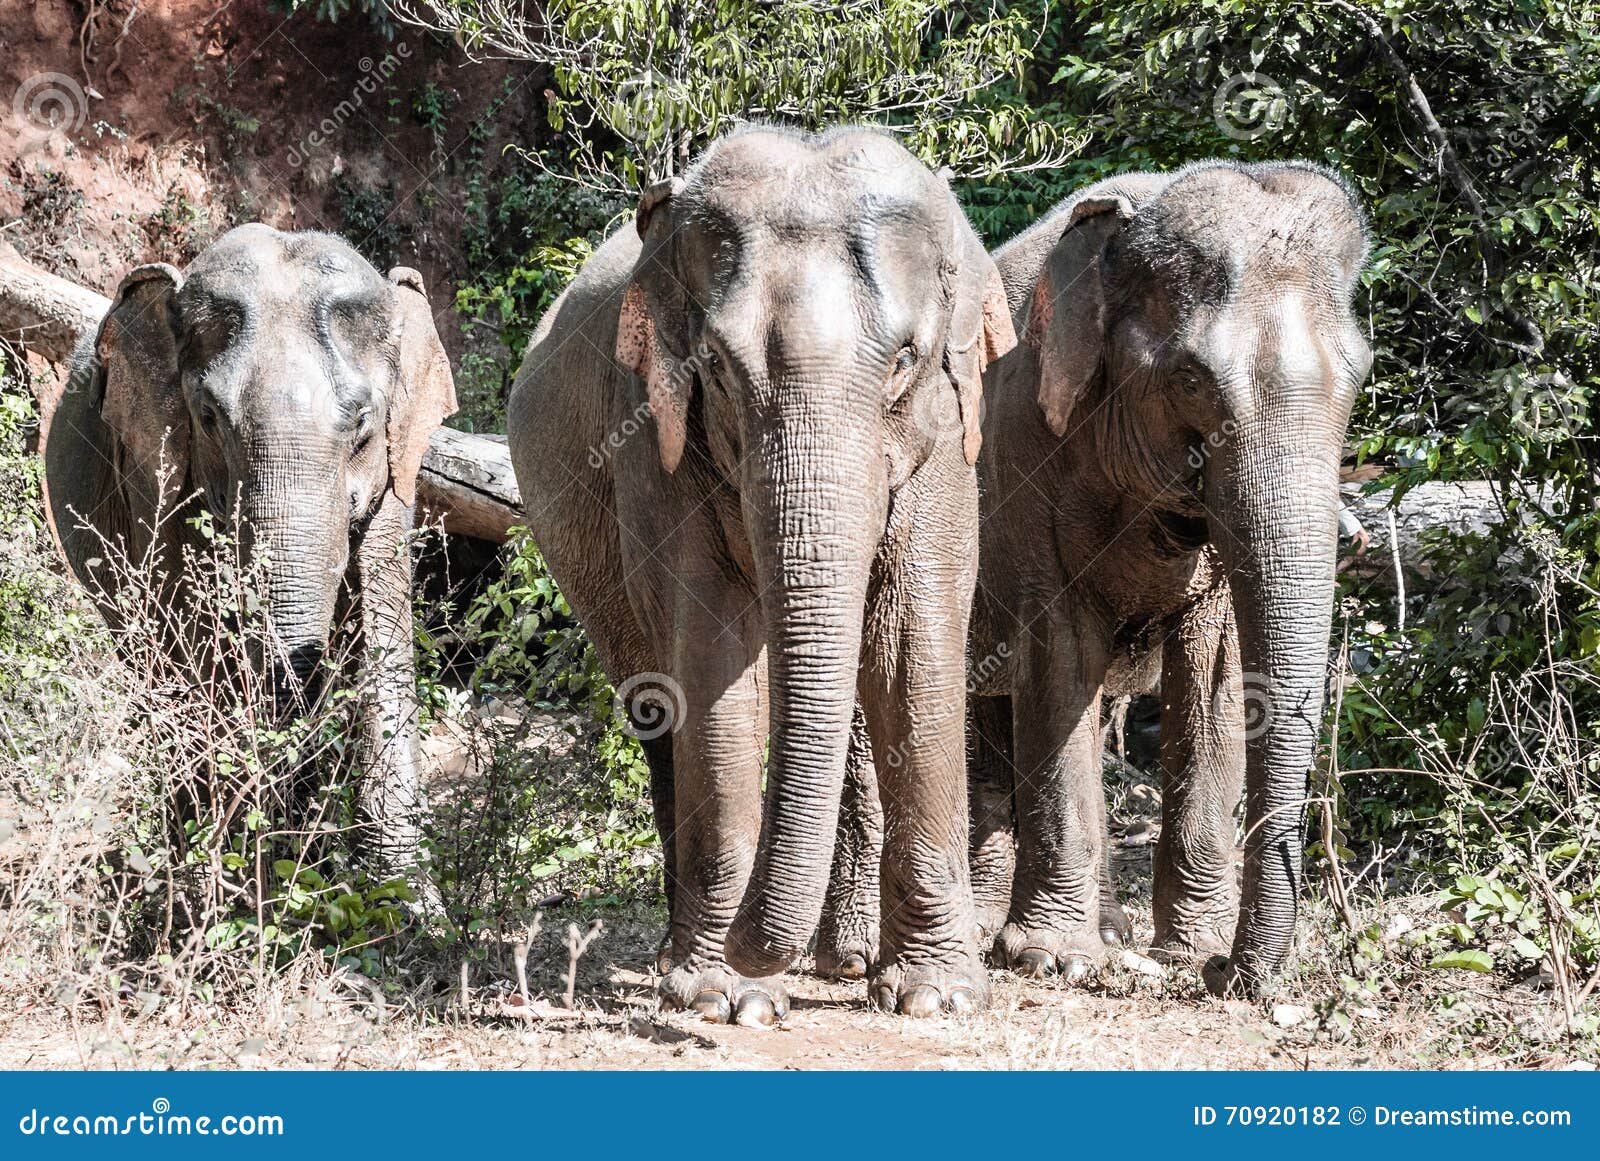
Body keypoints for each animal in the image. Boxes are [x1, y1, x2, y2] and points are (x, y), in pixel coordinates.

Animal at [42, 224, 458, 881]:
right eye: (210, 417)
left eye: (363, 423)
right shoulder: (153, 459)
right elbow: (185, 625)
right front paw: (228, 865)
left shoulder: (397, 465)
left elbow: (383, 625)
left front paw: (403, 896)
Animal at [506, 125, 1016, 1022]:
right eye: (714, 364)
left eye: (904, 362)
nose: (750, 944)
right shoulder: (652, 435)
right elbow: (714, 655)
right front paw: (723, 997)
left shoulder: (951, 433)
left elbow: (911, 641)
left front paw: (937, 996)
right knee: (656, 706)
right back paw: (688, 952)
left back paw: (845, 960)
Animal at [961, 161, 1372, 996]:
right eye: (1190, 379)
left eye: (1360, 377)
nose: (1229, 974)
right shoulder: (1022, 450)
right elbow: (1058, 652)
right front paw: (1051, 958)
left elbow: (1216, 671)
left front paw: (1185, 950)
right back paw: (993, 929)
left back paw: (1103, 930)